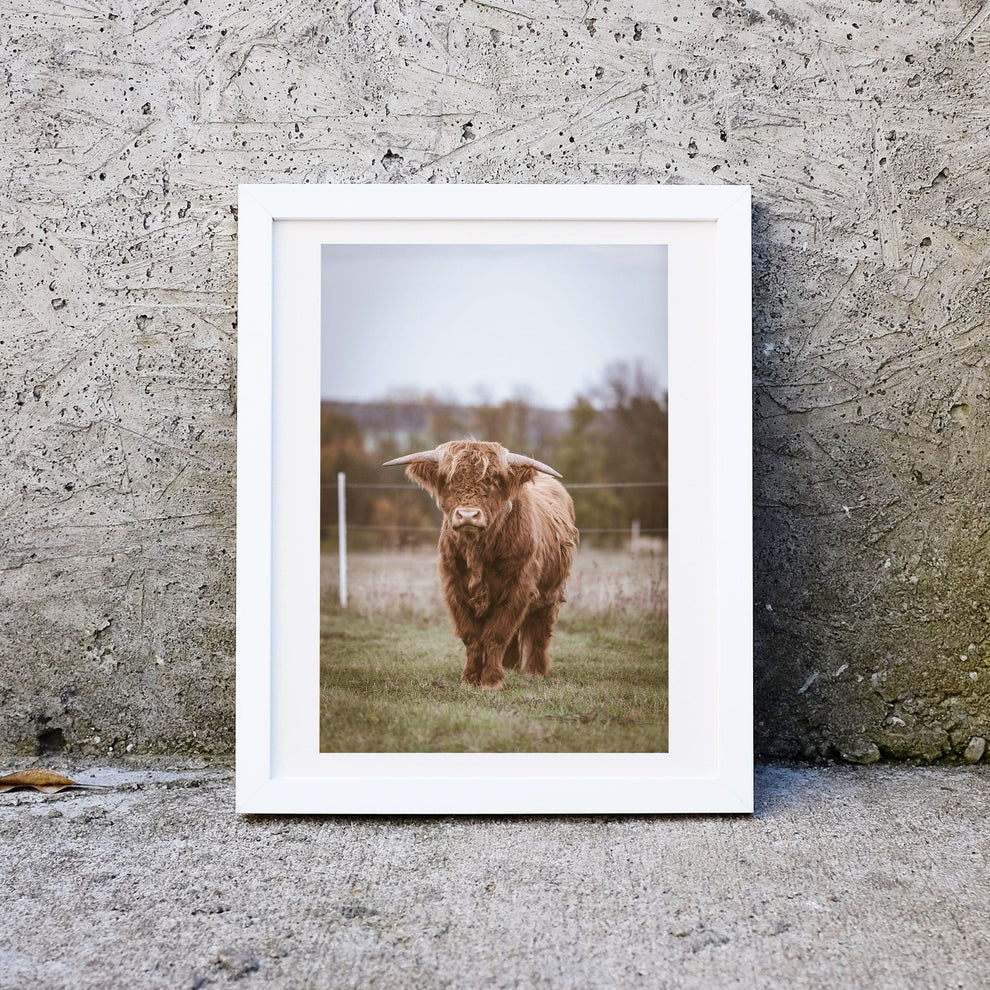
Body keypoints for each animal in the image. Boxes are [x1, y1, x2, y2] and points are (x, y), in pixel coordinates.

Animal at [383, 440, 579, 689]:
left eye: (493, 482)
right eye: (450, 480)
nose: (468, 515)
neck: (477, 552)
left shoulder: (518, 588)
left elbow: (497, 634)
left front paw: (491, 680)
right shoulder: (455, 588)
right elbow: (473, 637)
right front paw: (470, 678)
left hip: (550, 592)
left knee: (540, 629)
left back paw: (535, 671)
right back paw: (510, 666)